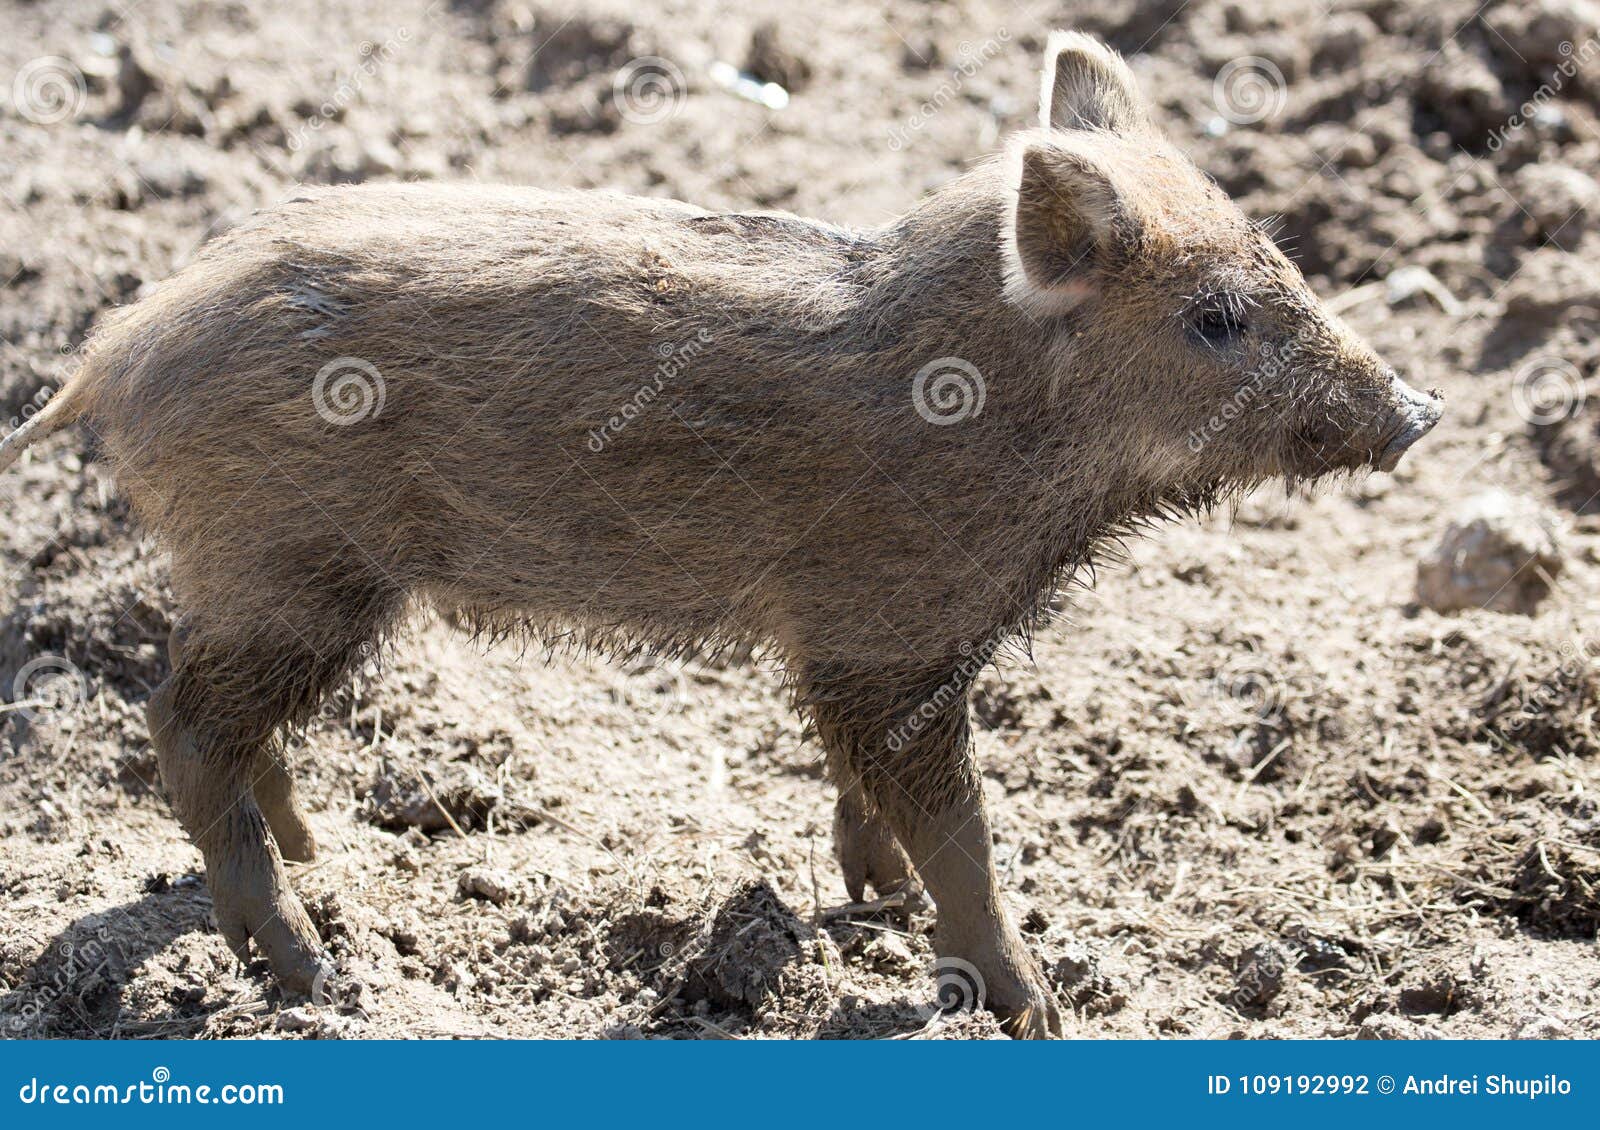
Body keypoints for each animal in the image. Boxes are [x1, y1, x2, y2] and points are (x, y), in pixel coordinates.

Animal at [0, 31, 1440, 1037]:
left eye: (1278, 259)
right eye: (1215, 317)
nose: (1420, 410)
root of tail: (113, 351)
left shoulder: (885, 651)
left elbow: (873, 790)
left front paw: (876, 901)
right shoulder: (882, 632)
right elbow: (959, 824)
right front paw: (1037, 1009)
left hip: (281, 579)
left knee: (224, 723)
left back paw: (314, 865)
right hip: (292, 563)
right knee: (180, 723)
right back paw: (312, 965)